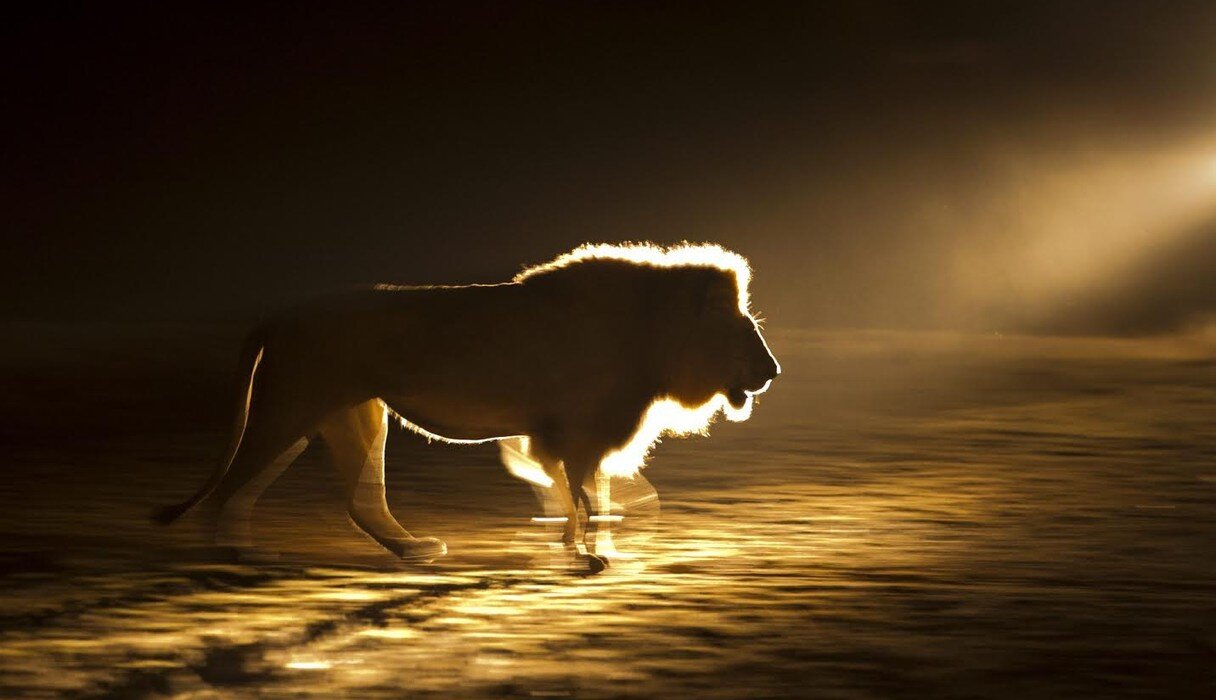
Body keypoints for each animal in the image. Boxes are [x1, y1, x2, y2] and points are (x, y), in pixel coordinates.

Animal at [153, 242, 779, 572]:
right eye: (740, 328)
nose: (772, 372)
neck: (652, 336)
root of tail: (279, 314)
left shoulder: (561, 434)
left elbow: (587, 492)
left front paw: (580, 542)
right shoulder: (575, 432)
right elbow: (582, 492)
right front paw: (585, 552)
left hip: (352, 415)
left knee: (360, 501)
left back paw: (414, 550)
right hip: (290, 410)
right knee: (235, 485)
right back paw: (234, 555)